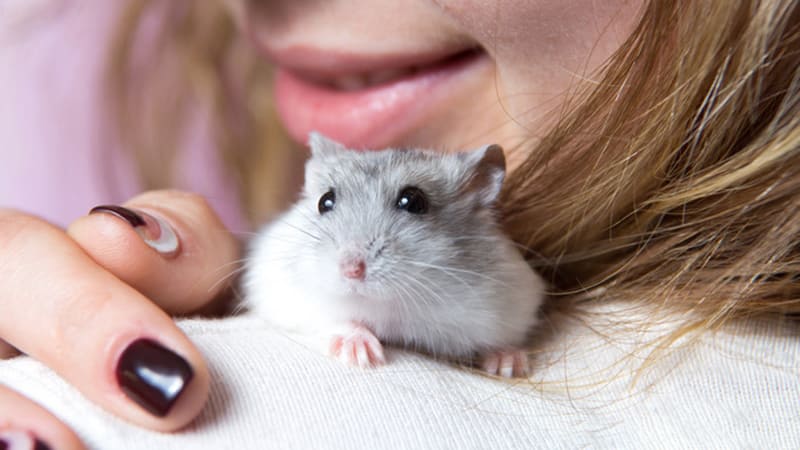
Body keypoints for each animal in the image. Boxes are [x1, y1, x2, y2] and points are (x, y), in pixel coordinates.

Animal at [243, 133, 545, 378]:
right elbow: (333, 317)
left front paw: (510, 365)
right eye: (324, 201)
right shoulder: (286, 295)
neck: (390, 306)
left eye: (413, 201)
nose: (351, 270)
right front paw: (364, 355)